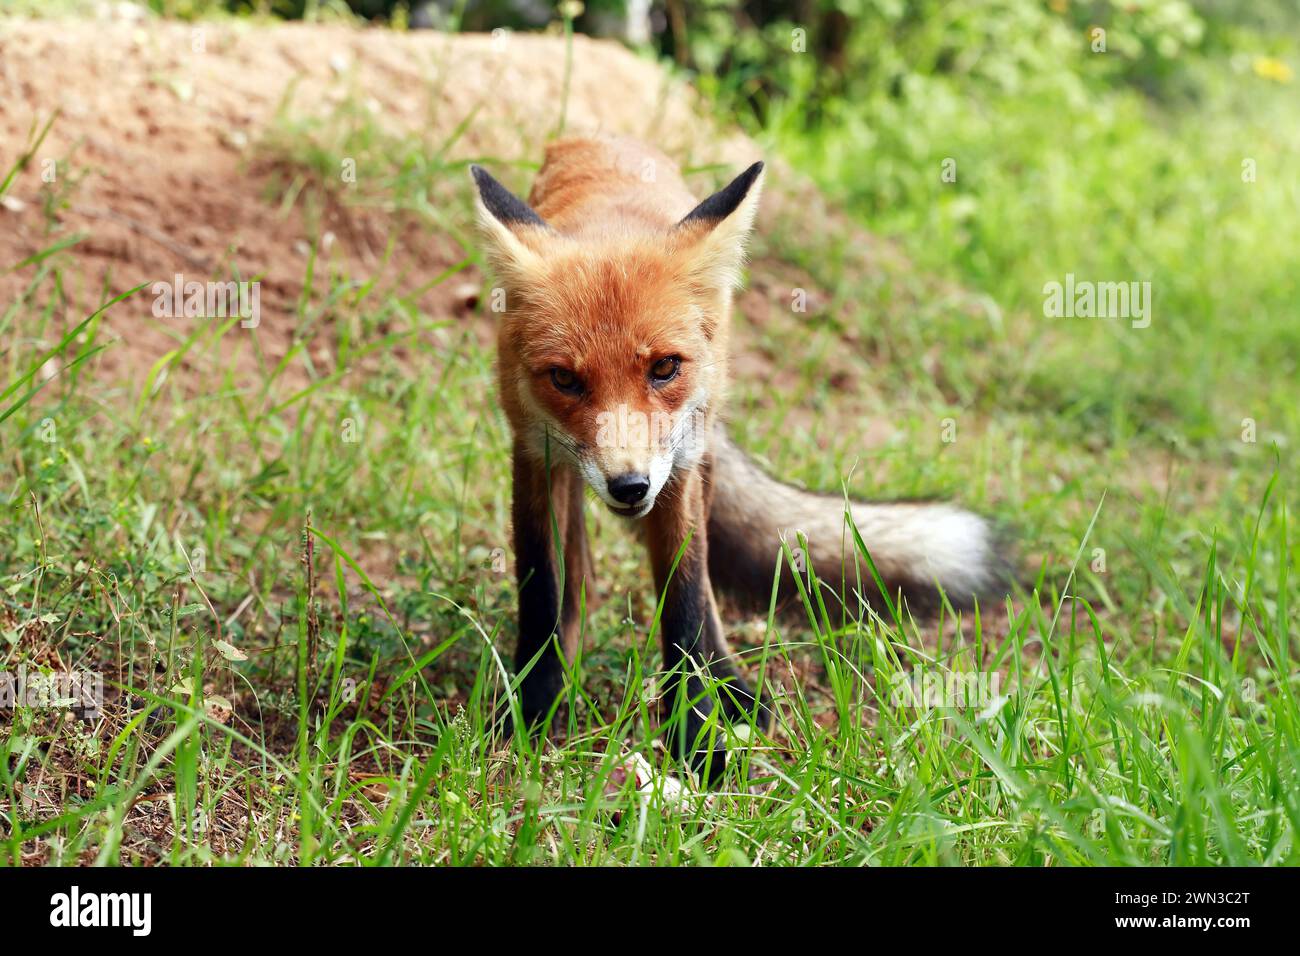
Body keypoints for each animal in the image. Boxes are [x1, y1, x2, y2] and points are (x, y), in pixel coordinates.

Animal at [470, 135, 1011, 781]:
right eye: (565, 379)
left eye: (664, 367)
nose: (629, 486)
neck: (610, 220)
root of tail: (604, 139)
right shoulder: (532, 452)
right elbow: (543, 590)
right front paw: (533, 707)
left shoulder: (678, 468)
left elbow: (685, 601)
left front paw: (697, 736)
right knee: (581, 575)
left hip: (698, 450)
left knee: (702, 588)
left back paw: (728, 682)